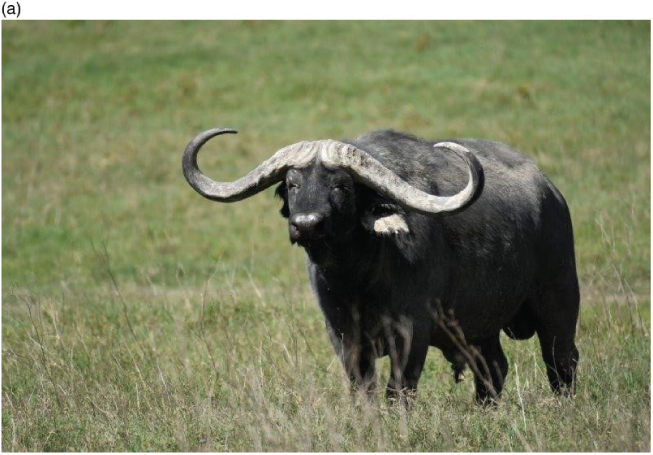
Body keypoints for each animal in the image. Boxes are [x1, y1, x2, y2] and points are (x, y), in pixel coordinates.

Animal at [182, 128, 580, 404]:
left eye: (341, 186)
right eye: (292, 184)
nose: (307, 224)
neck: (359, 280)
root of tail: (550, 193)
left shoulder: (412, 331)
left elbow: (398, 389)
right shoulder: (343, 335)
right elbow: (363, 389)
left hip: (558, 301)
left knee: (561, 362)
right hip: (478, 329)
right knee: (493, 369)